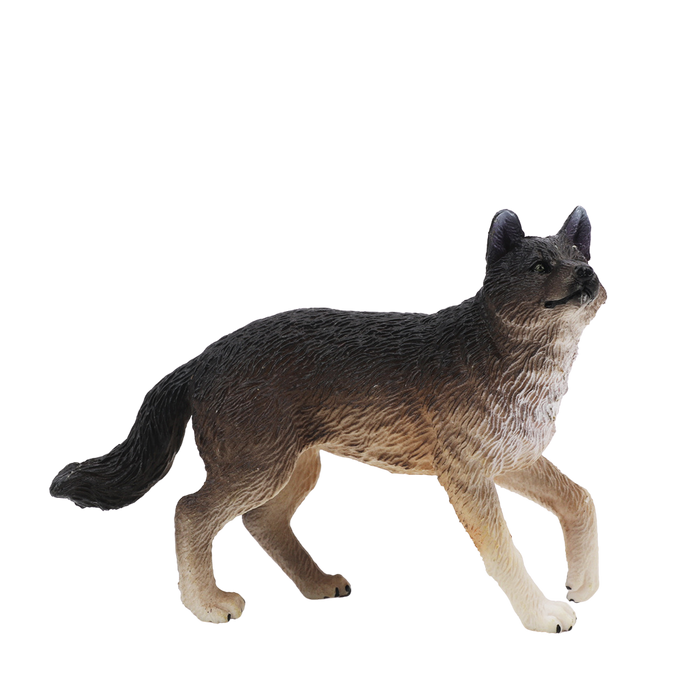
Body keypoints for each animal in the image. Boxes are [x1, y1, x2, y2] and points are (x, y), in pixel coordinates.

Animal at [48, 203, 607, 635]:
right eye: (540, 266)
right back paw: (208, 605)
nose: (587, 276)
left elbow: (581, 499)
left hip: (298, 468)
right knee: (189, 511)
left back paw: (315, 584)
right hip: (259, 470)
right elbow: (507, 552)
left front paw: (583, 581)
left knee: (260, 521)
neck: (507, 356)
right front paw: (542, 613)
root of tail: (198, 361)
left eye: (584, 259)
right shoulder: (467, 478)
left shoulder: (513, 459)